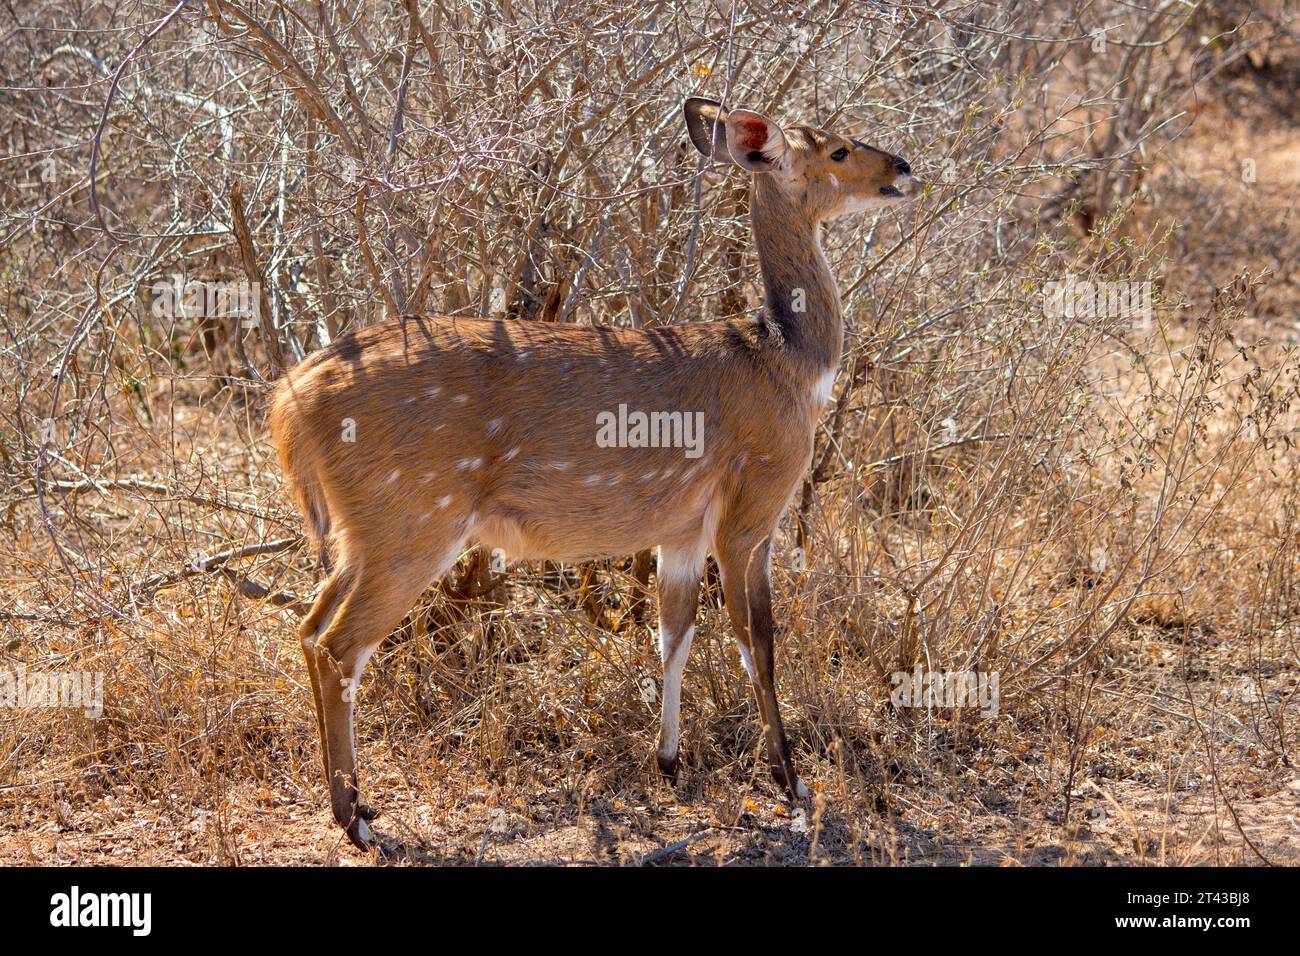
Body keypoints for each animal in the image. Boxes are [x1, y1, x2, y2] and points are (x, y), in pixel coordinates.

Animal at [269, 97, 914, 849]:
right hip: (414, 526)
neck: (786, 361)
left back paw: (355, 807)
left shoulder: (682, 532)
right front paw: (792, 786)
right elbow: (758, 642)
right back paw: (359, 820)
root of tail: (290, 399)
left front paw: (669, 761)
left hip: (363, 535)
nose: (903, 167)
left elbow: (673, 634)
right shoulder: (752, 513)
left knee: (309, 624)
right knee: (340, 644)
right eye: (838, 150)